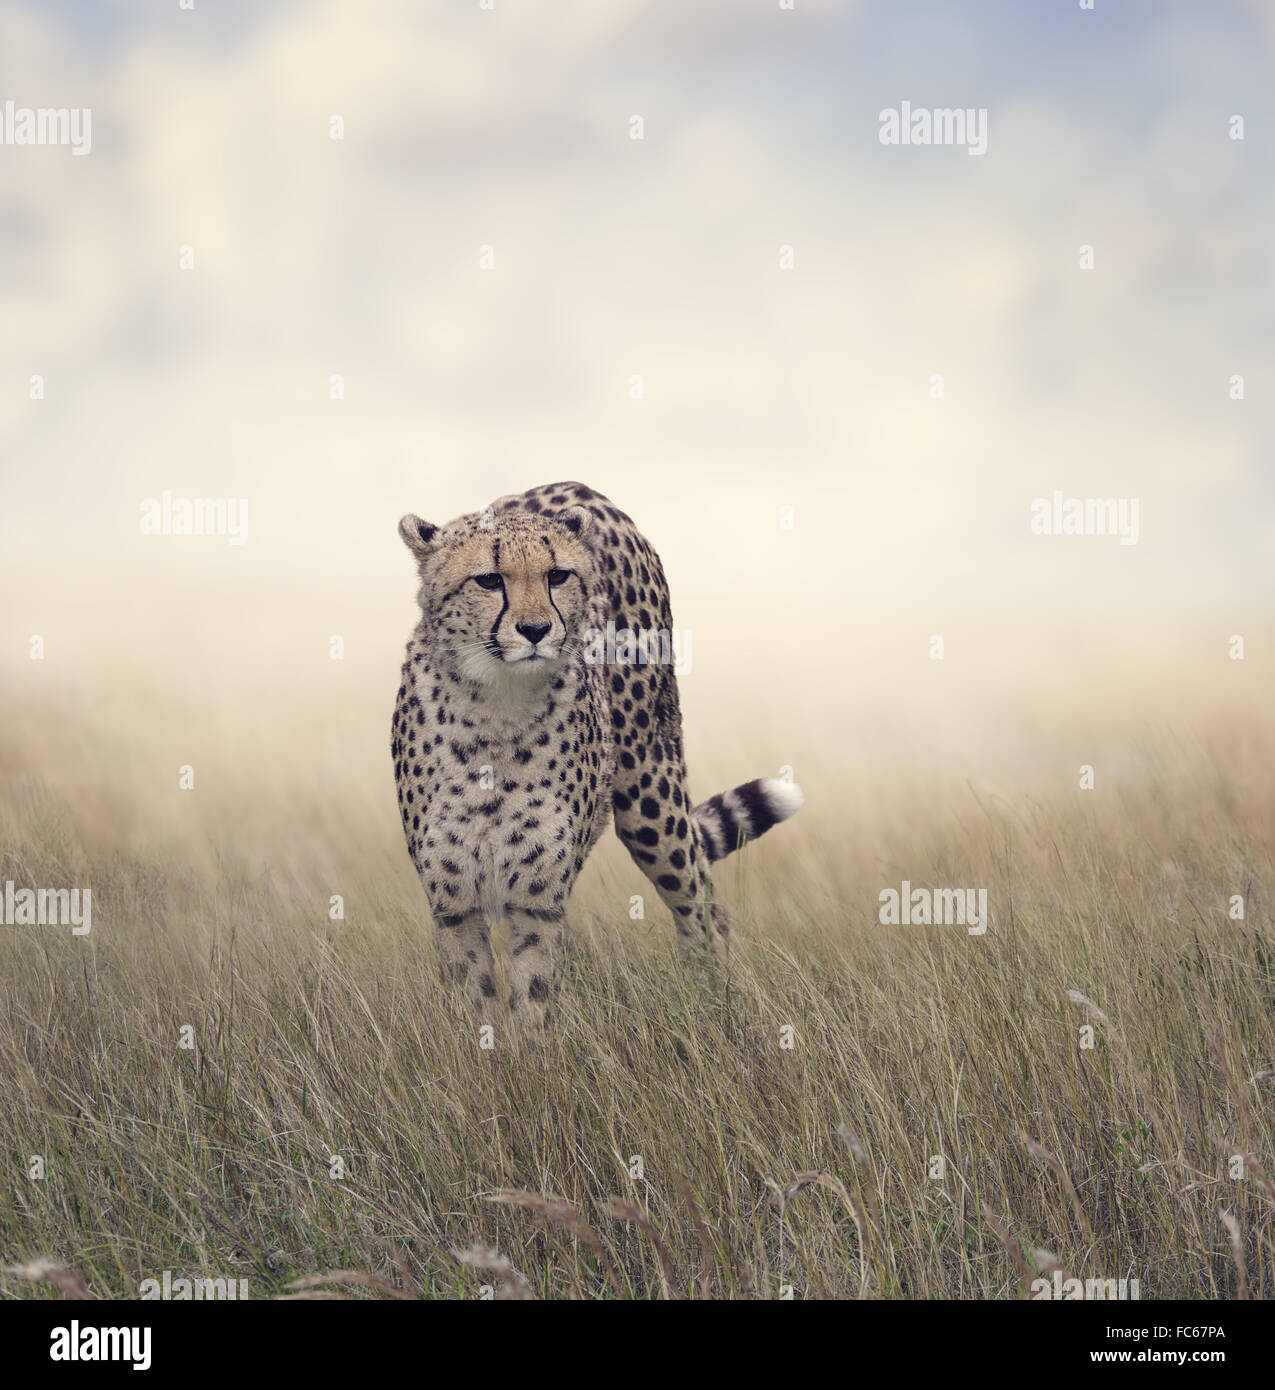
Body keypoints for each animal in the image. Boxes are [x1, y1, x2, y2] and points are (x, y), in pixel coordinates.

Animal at [391, 481, 803, 1036]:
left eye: (557, 575)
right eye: (489, 579)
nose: (536, 629)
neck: (496, 707)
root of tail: (579, 489)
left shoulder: (538, 903)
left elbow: (532, 1004)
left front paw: (529, 1055)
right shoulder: (454, 906)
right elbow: (476, 1012)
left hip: (651, 799)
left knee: (699, 905)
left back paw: (712, 1008)